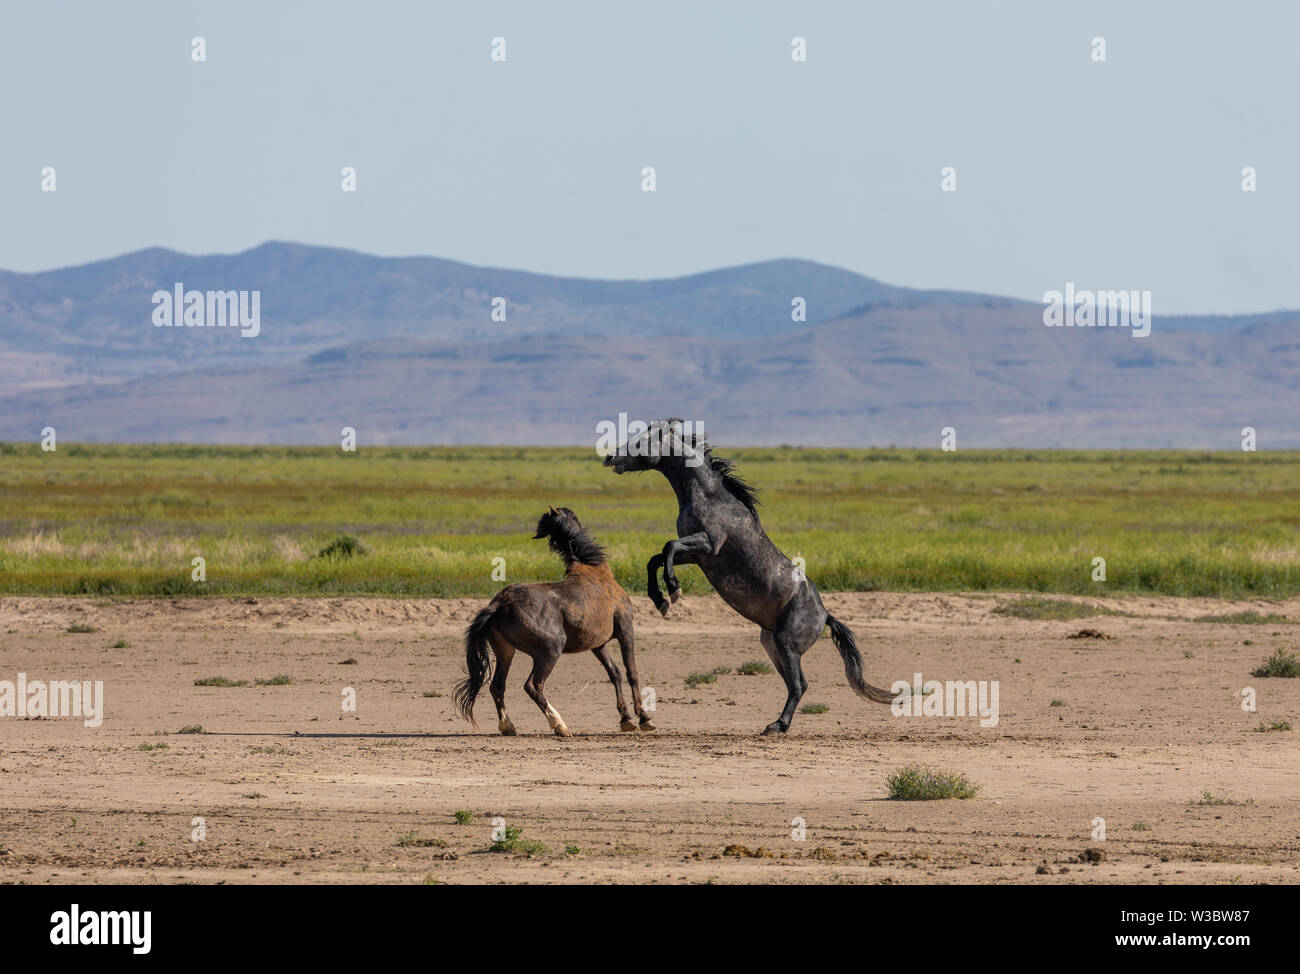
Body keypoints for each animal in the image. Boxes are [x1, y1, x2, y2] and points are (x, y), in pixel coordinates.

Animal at [452, 506, 654, 737]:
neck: (596, 573)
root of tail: (500, 604)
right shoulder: (626, 631)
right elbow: (631, 672)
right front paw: (644, 718)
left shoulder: (597, 644)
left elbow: (615, 673)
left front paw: (626, 719)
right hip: (548, 652)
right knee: (533, 686)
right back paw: (560, 725)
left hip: (506, 652)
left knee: (497, 686)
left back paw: (508, 726)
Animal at [604, 421, 895, 734]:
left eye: (640, 440)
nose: (609, 457)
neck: (709, 496)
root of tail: (825, 616)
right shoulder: (695, 555)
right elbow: (656, 558)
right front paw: (661, 599)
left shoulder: (708, 545)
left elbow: (668, 547)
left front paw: (673, 591)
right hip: (771, 645)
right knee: (794, 685)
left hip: (786, 644)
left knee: (799, 685)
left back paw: (777, 726)